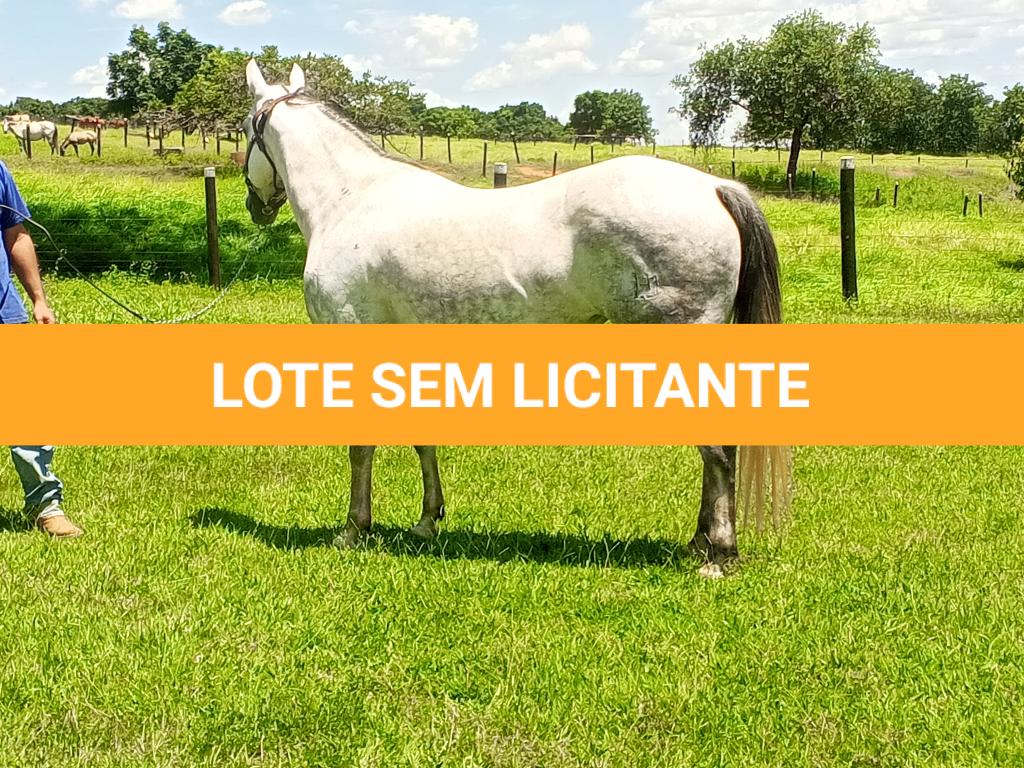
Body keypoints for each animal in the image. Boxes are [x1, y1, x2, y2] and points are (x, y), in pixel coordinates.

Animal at [241, 61, 791, 577]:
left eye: (245, 129)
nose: (254, 205)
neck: (350, 202)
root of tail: (716, 186)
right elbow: (422, 436)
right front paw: (427, 521)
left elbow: (361, 444)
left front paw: (354, 529)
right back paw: (699, 542)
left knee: (717, 450)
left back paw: (719, 555)